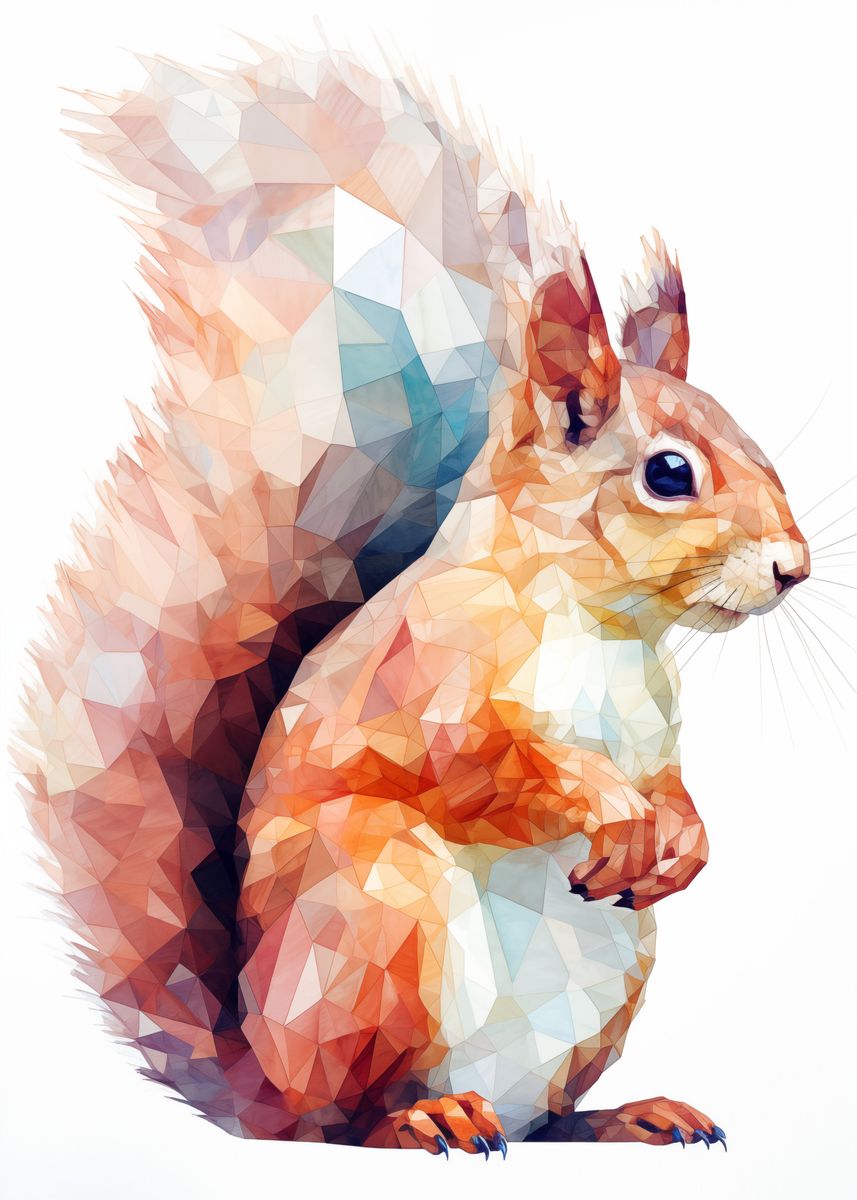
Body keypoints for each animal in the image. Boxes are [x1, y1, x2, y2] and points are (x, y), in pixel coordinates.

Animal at [17, 44, 810, 1154]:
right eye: (667, 474)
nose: (793, 567)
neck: (599, 620)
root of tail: (261, 1089)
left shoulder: (651, 728)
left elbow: (668, 783)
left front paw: (682, 837)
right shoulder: (426, 683)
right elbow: (487, 763)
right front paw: (605, 807)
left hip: (611, 973)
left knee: (543, 1120)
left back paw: (627, 1115)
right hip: (371, 910)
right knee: (351, 1117)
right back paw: (422, 1117)